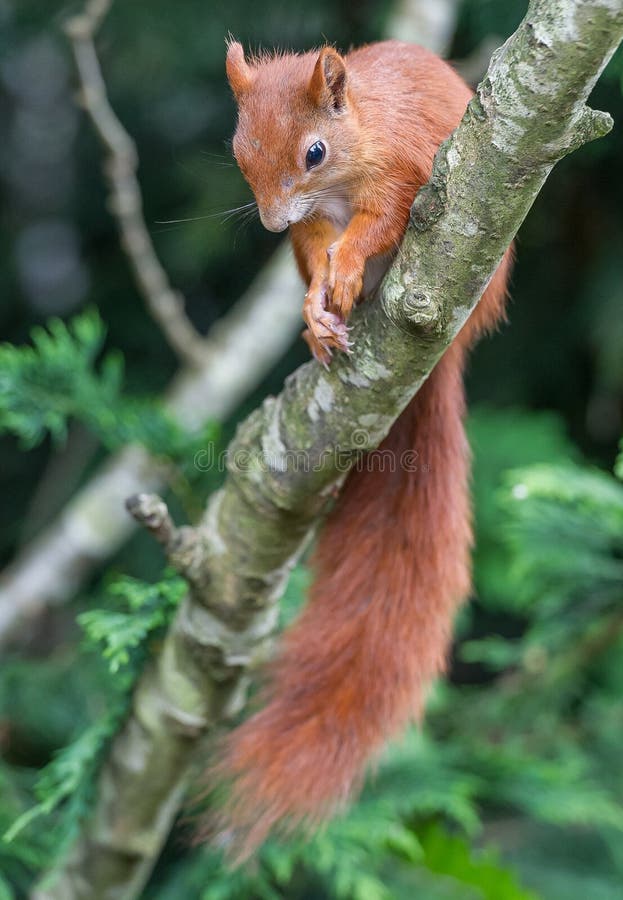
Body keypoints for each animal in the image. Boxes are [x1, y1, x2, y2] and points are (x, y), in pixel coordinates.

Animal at [215, 38, 514, 857]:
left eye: (314, 152)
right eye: (237, 150)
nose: (268, 220)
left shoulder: (407, 176)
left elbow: (379, 225)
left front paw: (347, 269)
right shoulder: (308, 230)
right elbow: (316, 248)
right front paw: (317, 305)